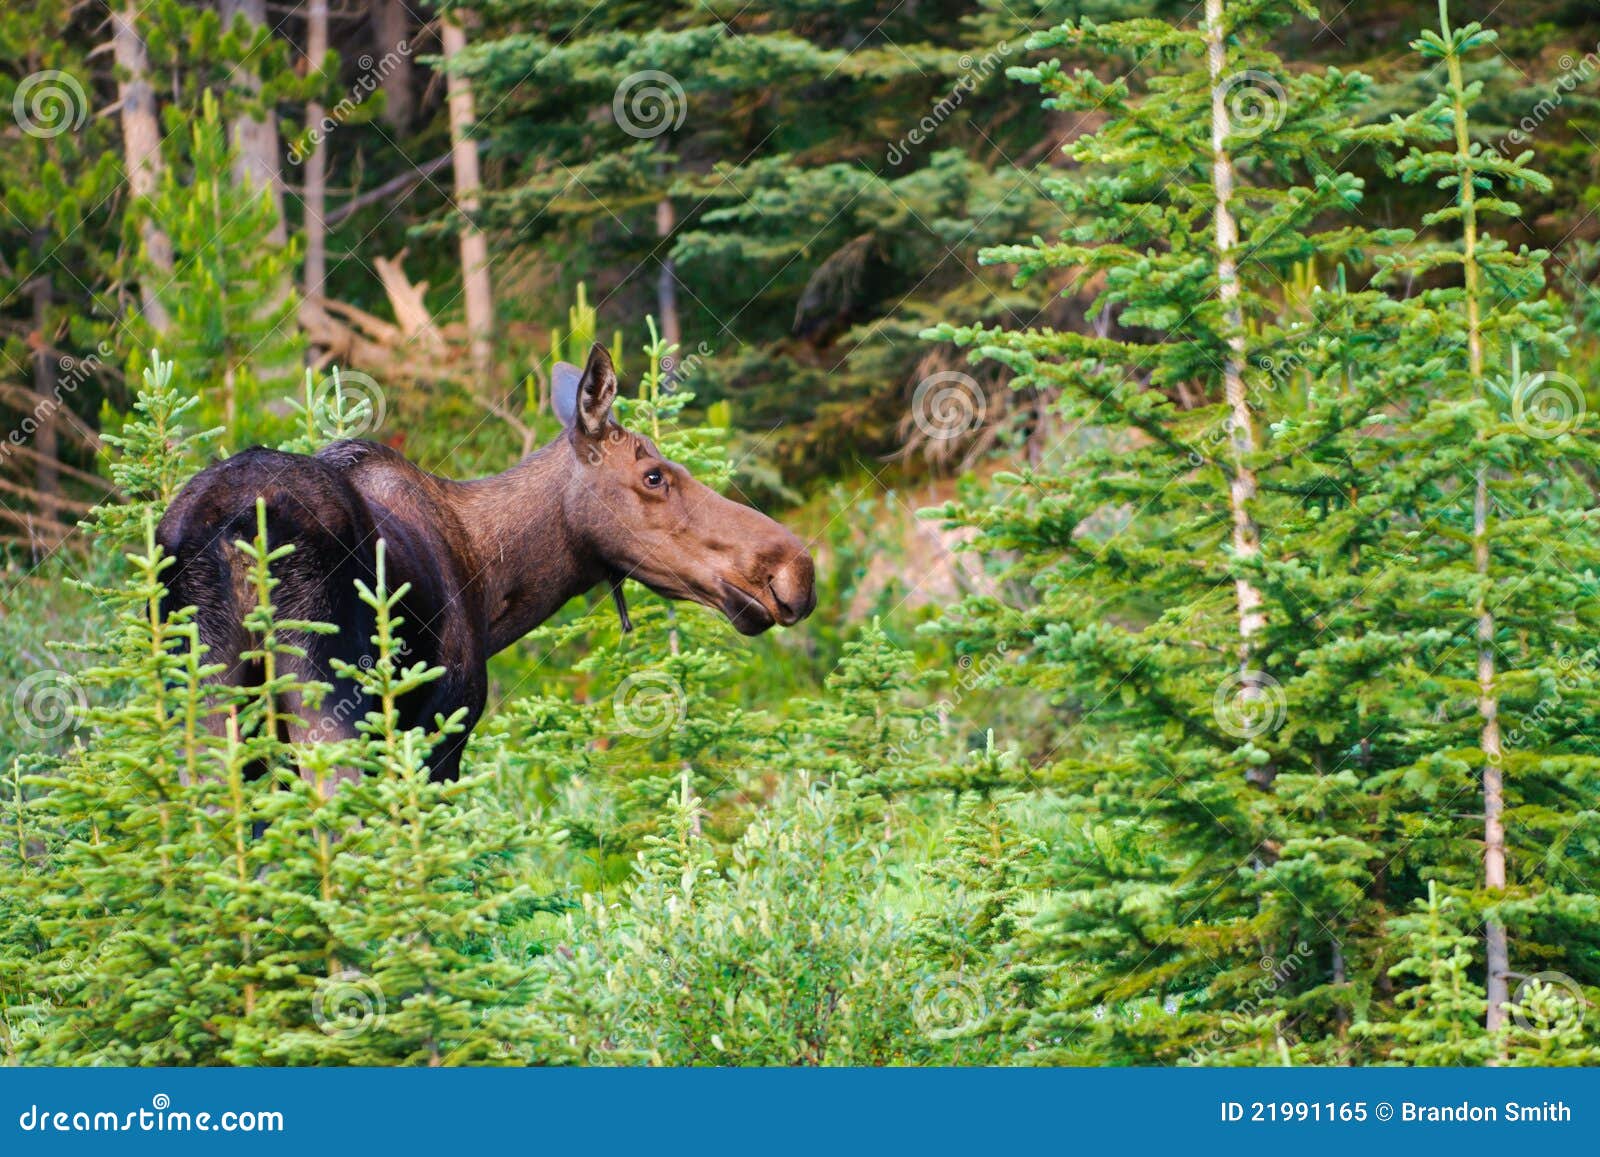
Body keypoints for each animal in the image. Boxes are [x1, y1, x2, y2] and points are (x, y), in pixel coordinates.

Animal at [155, 344, 816, 788]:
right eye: (654, 475)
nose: (795, 569)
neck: (492, 585)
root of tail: (234, 528)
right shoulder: (442, 727)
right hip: (327, 695)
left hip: (206, 696)